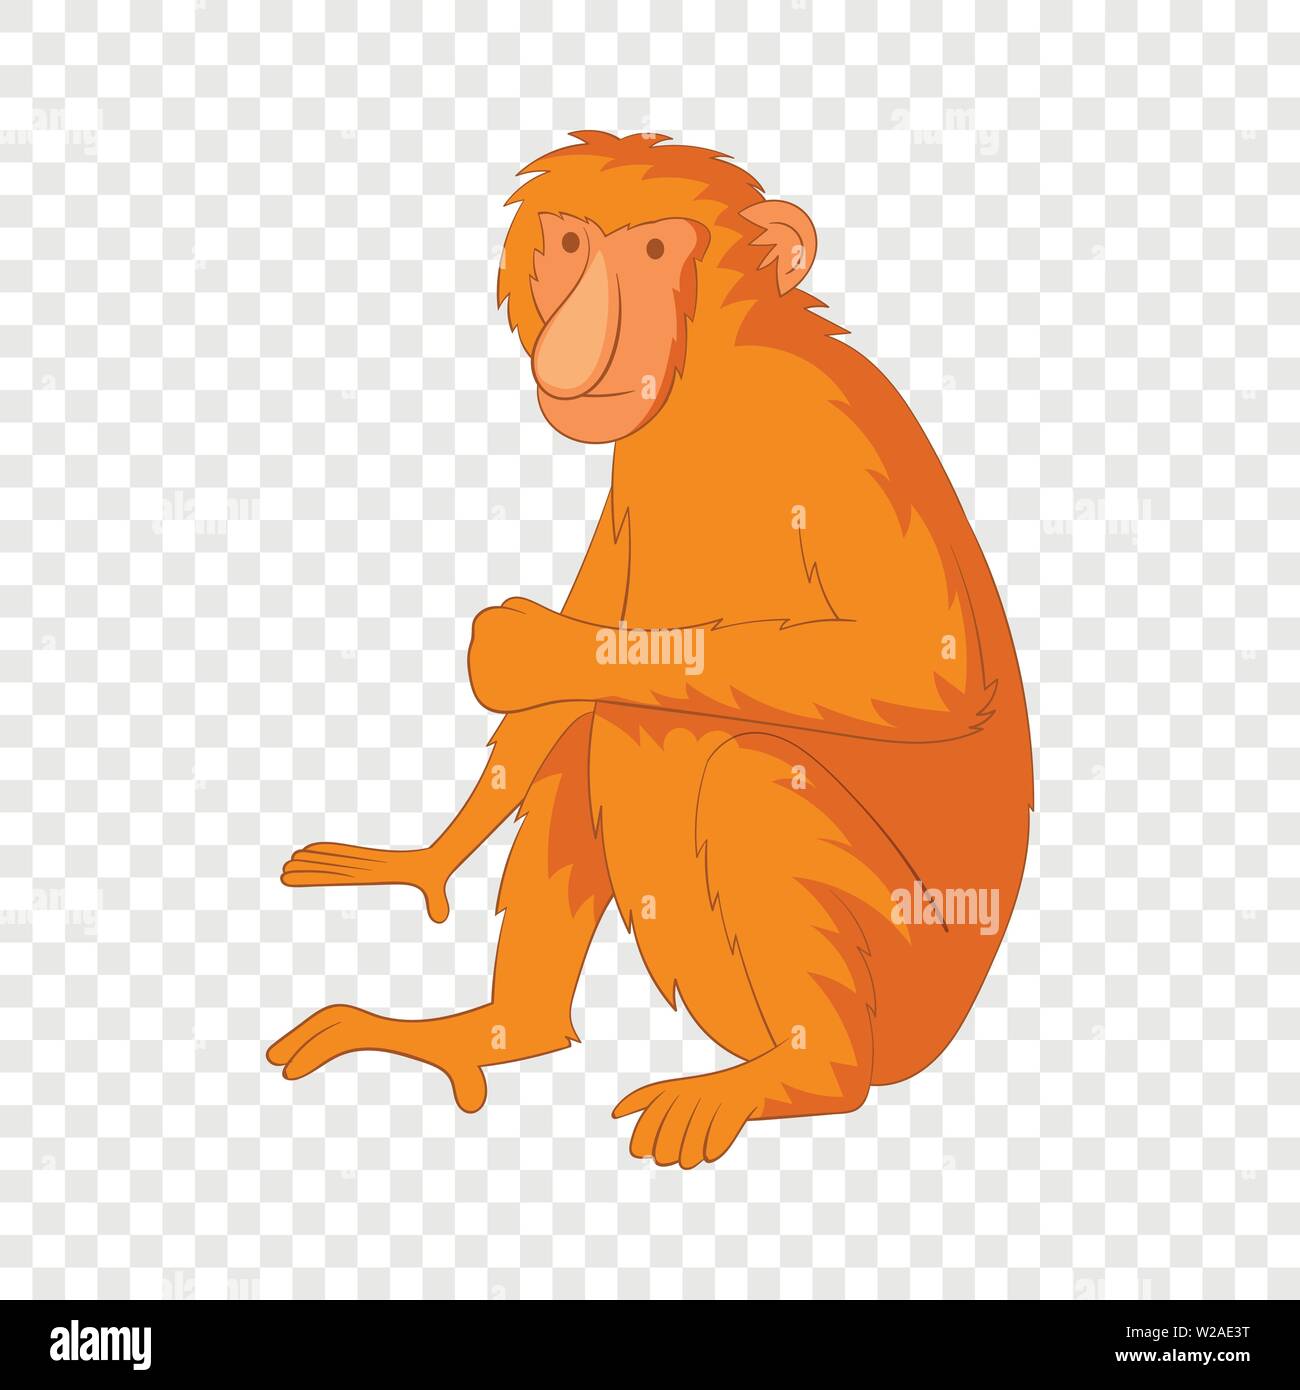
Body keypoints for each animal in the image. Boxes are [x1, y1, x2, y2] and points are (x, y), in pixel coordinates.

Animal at [267, 132, 1034, 1168]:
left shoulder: (834, 434)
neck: (709, 398)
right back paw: (501, 1031)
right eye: (572, 243)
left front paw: (521, 647)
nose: (587, 327)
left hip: (908, 996)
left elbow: (922, 666)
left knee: (738, 765)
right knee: (597, 733)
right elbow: (561, 702)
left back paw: (800, 1075)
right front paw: (425, 859)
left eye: (659, 253)